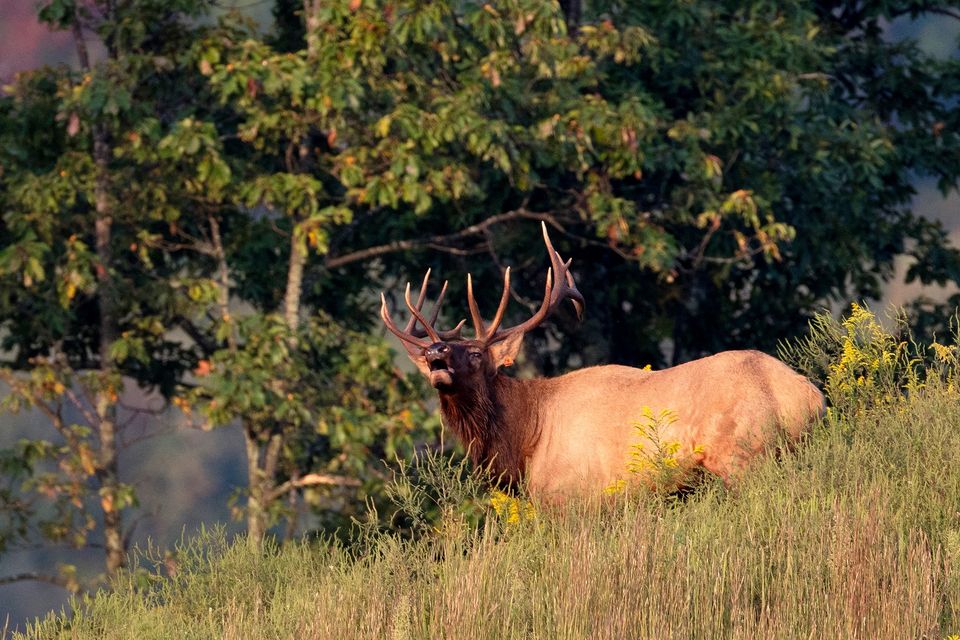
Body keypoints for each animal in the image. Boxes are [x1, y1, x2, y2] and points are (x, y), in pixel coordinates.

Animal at [380, 223, 825, 500]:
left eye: (475, 353)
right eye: (431, 356)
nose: (435, 354)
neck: (525, 441)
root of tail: (807, 398)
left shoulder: (571, 498)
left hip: (743, 456)